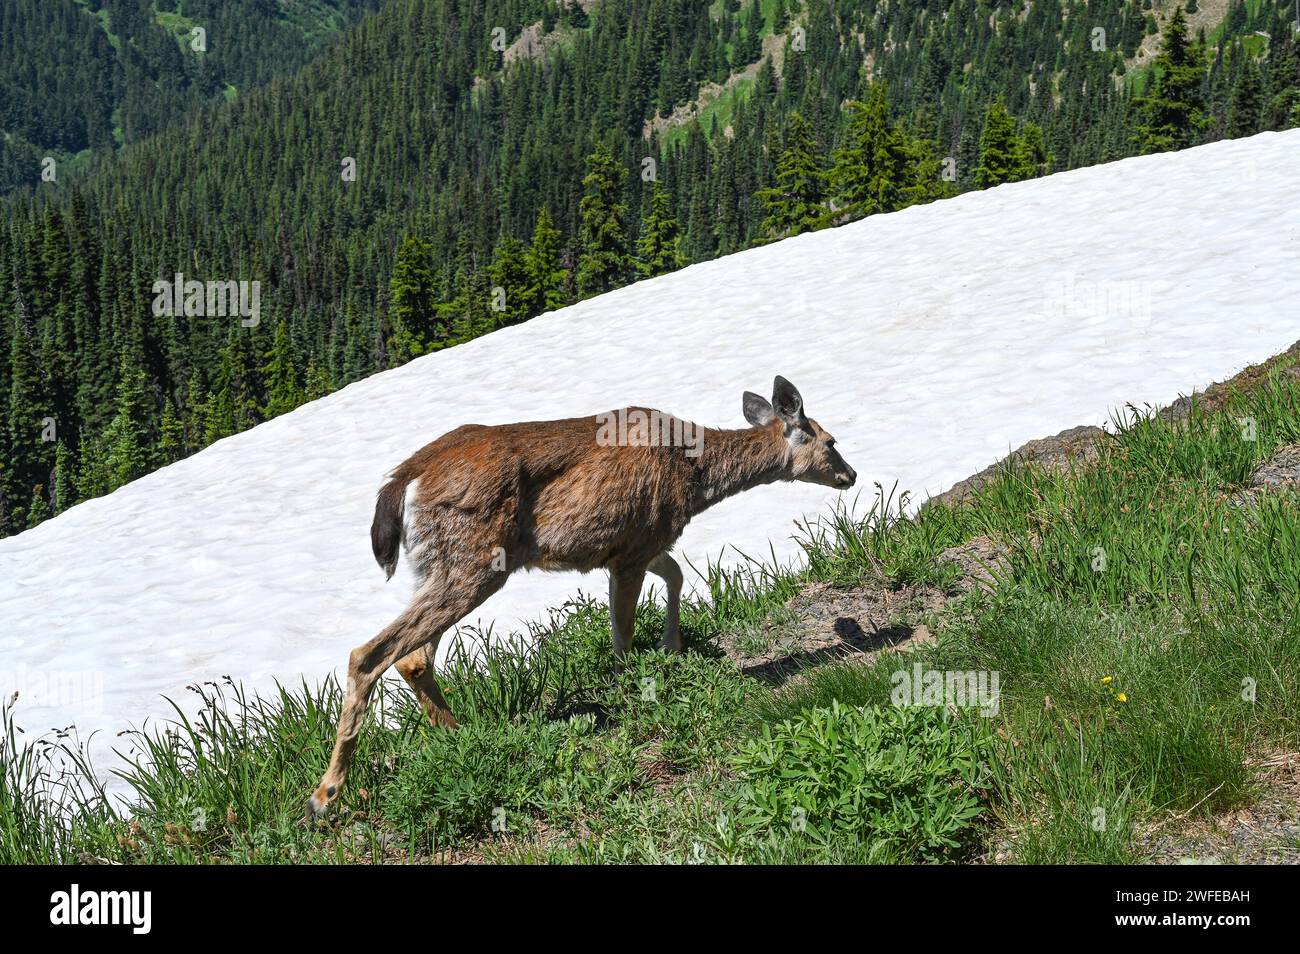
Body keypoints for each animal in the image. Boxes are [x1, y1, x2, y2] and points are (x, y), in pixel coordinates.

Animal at [307, 376, 856, 816]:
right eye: (830, 440)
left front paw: (671, 647)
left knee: (414, 657)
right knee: (371, 653)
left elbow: (676, 575)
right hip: (475, 559)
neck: (697, 476)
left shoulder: (638, 545)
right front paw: (635, 688)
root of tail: (405, 478)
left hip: (436, 565)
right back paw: (326, 794)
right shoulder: (634, 545)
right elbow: (624, 632)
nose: (850, 474)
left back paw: (463, 739)